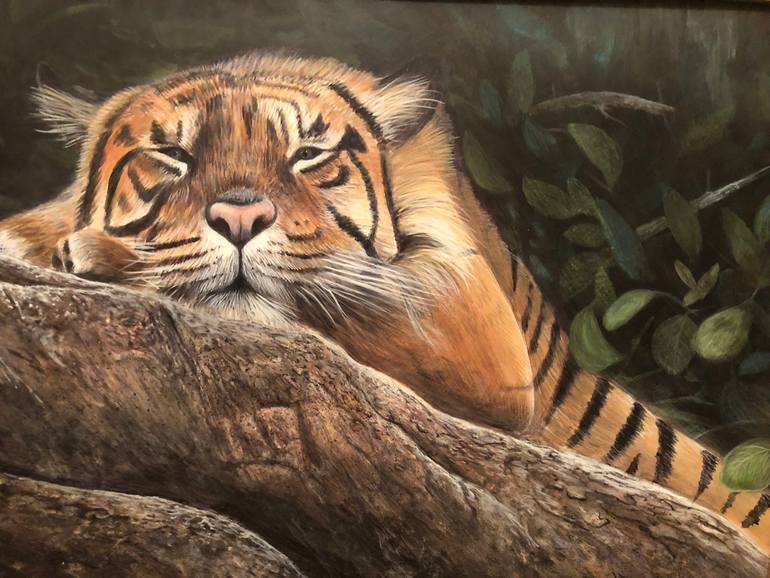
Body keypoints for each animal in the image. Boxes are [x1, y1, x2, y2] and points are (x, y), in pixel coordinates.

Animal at [0, 52, 767, 556]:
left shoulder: (467, 319)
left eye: (308, 154)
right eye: (173, 158)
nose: (241, 219)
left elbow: (339, 290)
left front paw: (102, 256)